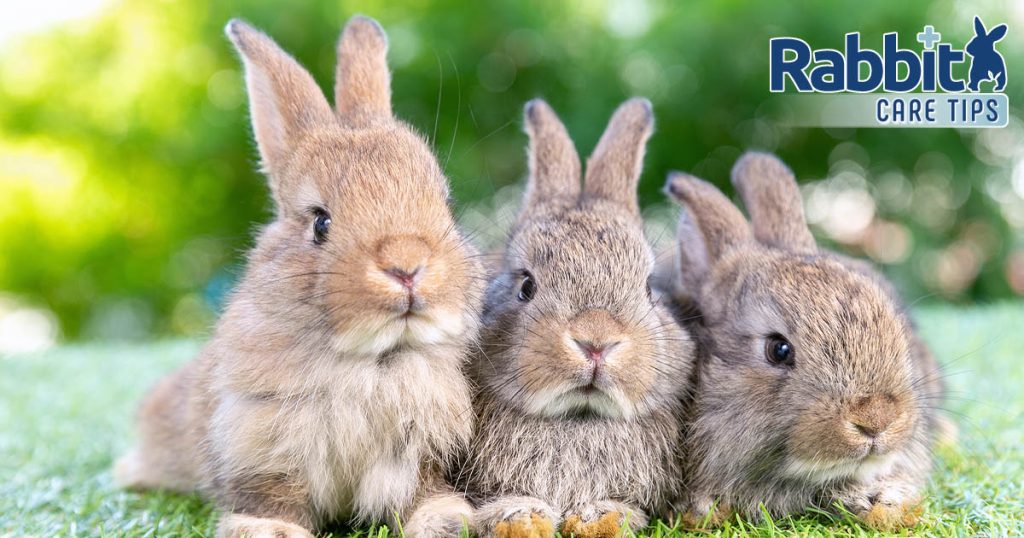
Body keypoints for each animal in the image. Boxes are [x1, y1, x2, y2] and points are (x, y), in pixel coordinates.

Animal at [113, 16, 485, 538]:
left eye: (445, 205)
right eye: (320, 223)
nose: (407, 266)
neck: (371, 360)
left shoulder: (416, 455)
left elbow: (418, 493)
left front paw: (445, 520)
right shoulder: (261, 442)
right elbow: (274, 497)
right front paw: (269, 530)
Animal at [457, 98, 696, 538]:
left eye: (648, 288)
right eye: (526, 285)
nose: (596, 341)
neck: (578, 418)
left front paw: (600, 519)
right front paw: (523, 520)